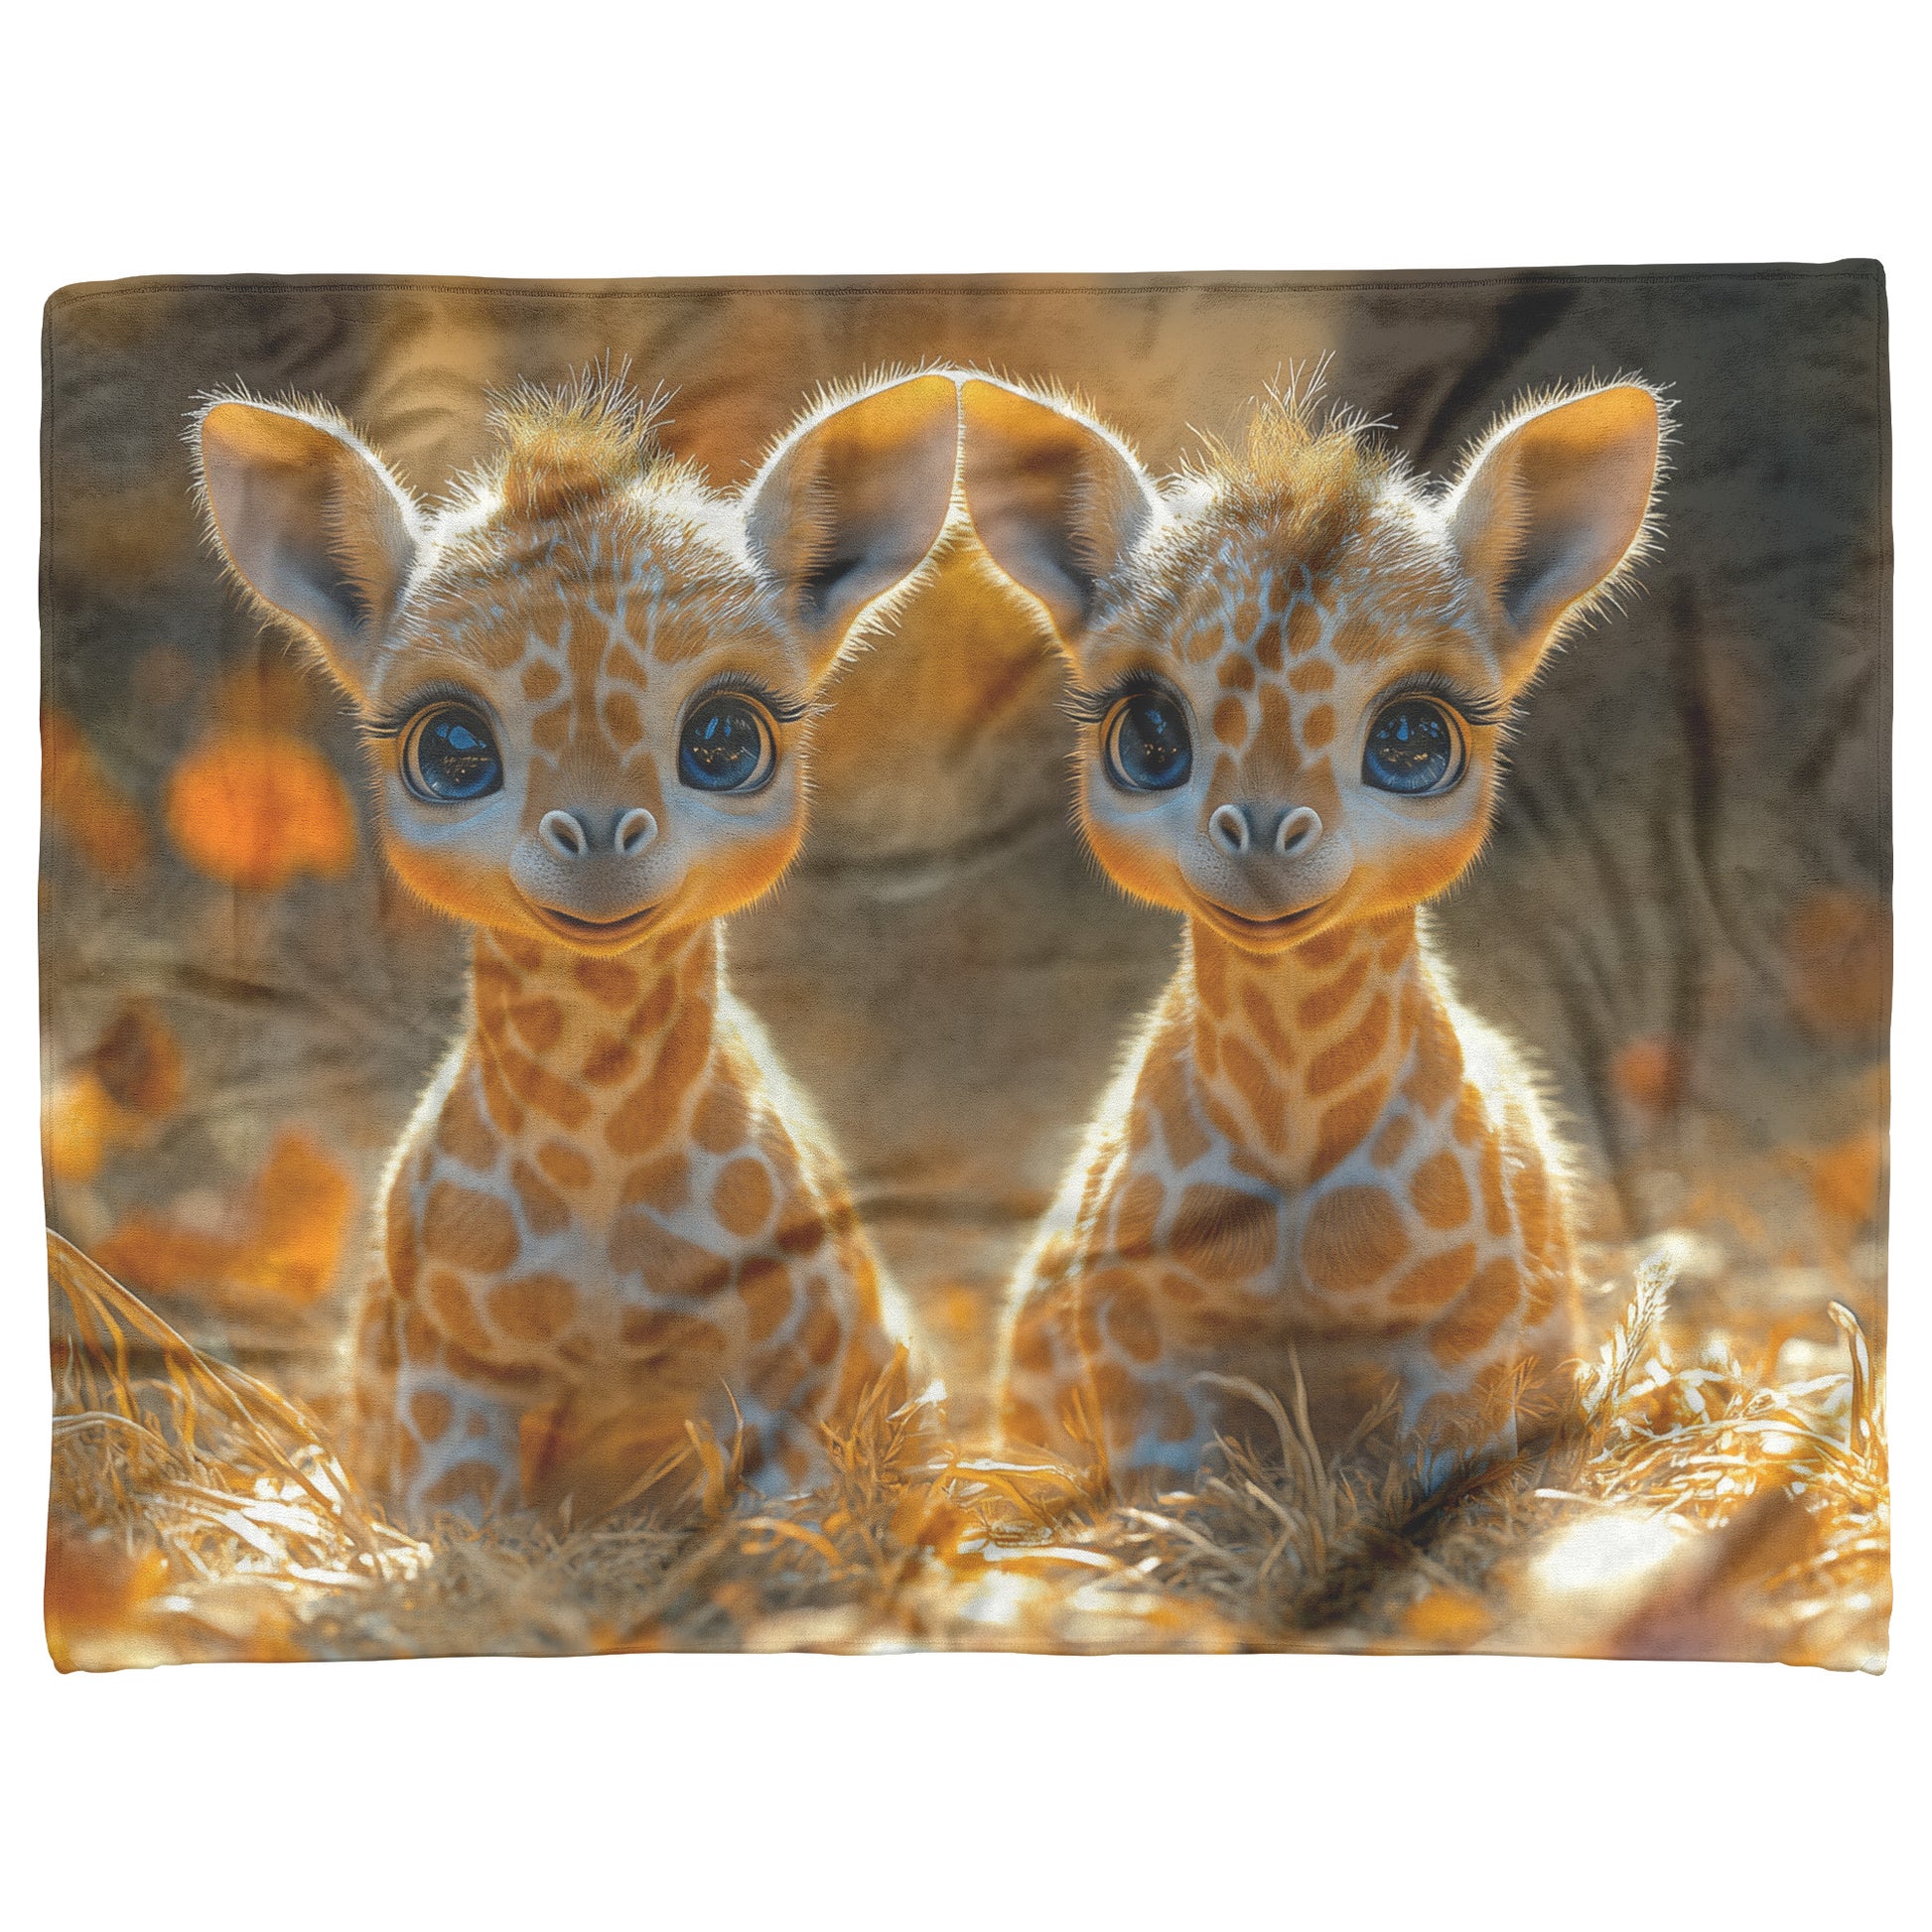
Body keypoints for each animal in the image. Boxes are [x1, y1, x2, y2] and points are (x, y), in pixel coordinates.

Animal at [958, 370, 1665, 1491]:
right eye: (1146, 733)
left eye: (1414, 737)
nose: (1258, 830)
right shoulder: (1132, 1330)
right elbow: (1171, 1500)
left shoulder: (1470, 1331)